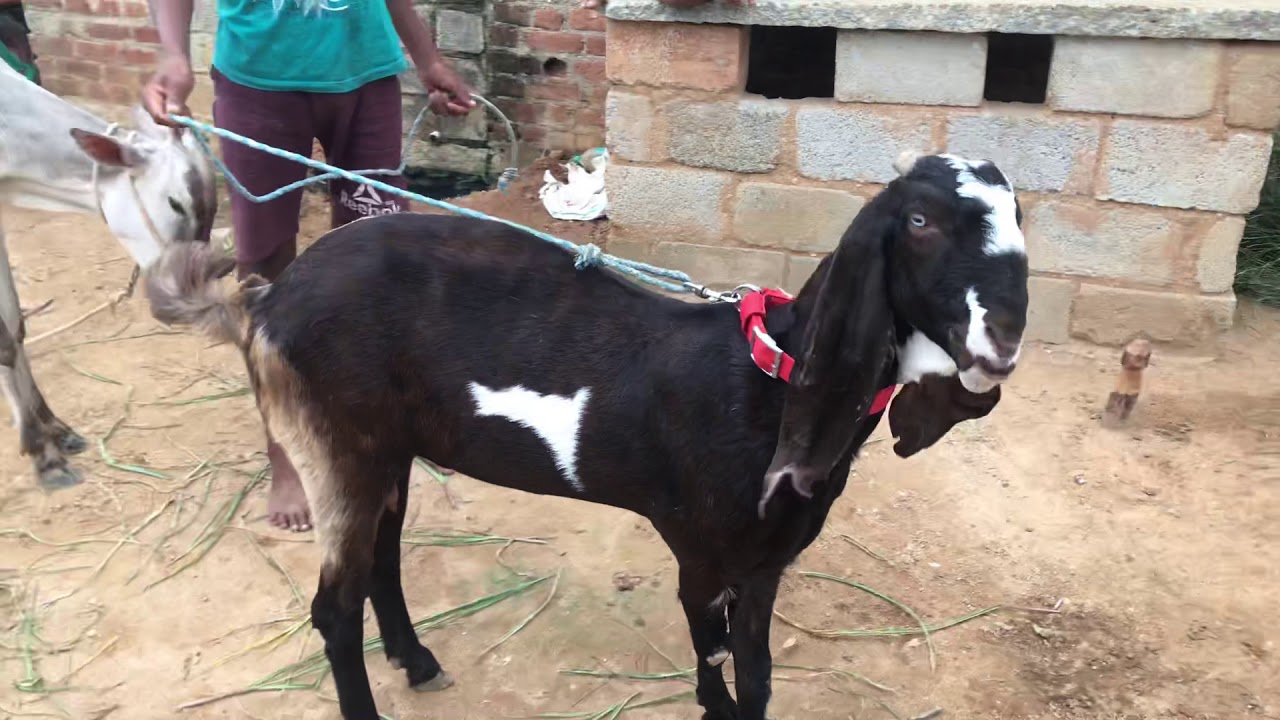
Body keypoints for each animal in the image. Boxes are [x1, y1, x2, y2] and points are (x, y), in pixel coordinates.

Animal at [143, 150, 1029, 720]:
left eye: (1021, 218)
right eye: (918, 219)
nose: (1005, 336)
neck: (770, 378)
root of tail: (267, 303)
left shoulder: (766, 564)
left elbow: (756, 675)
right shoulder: (703, 552)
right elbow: (717, 660)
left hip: (384, 449)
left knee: (380, 562)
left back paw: (418, 661)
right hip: (339, 444)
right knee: (333, 604)